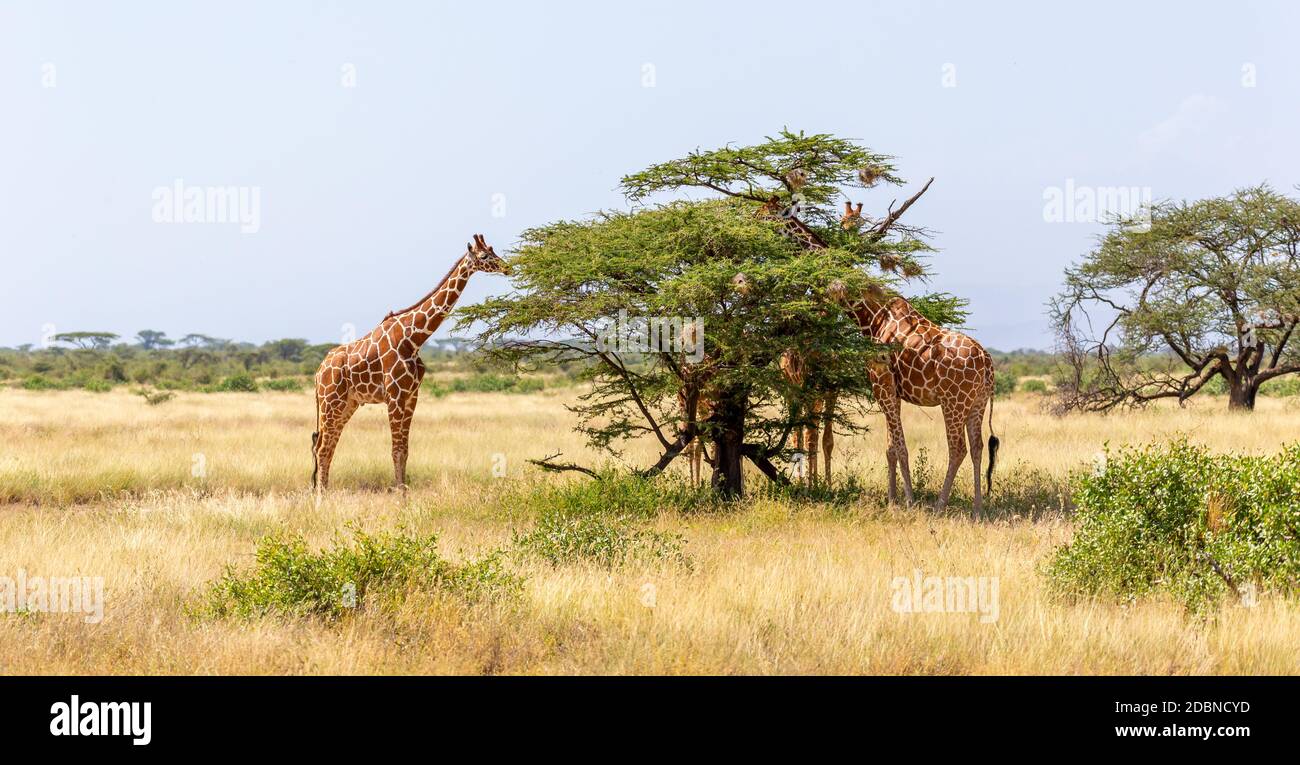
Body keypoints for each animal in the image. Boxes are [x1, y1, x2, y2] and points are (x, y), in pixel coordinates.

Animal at [311, 234, 509, 491]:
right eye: (485, 255)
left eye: (493, 250)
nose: (507, 267)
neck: (413, 338)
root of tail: (318, 372)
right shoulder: (394, 396)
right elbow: (396, 450)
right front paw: (399, 494)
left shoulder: (412, 396)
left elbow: (404, 451)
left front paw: (404, 492)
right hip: (330, 402)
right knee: (322, 447)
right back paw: (321, 495)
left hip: (347, 404)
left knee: (326, 445)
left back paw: (324, 491)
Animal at [827, 273, 999, 514]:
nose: (824, 292)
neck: (873, 321)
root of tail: (986, 361)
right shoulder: (892, 393)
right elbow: (890, 448)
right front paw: (891, 501)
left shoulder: (882, 386)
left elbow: (900, 447)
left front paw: (908, 501)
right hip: (977, 402)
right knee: (977, 447)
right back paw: (977, 510)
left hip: (952, 401)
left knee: (958, 449)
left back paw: (939, 506)